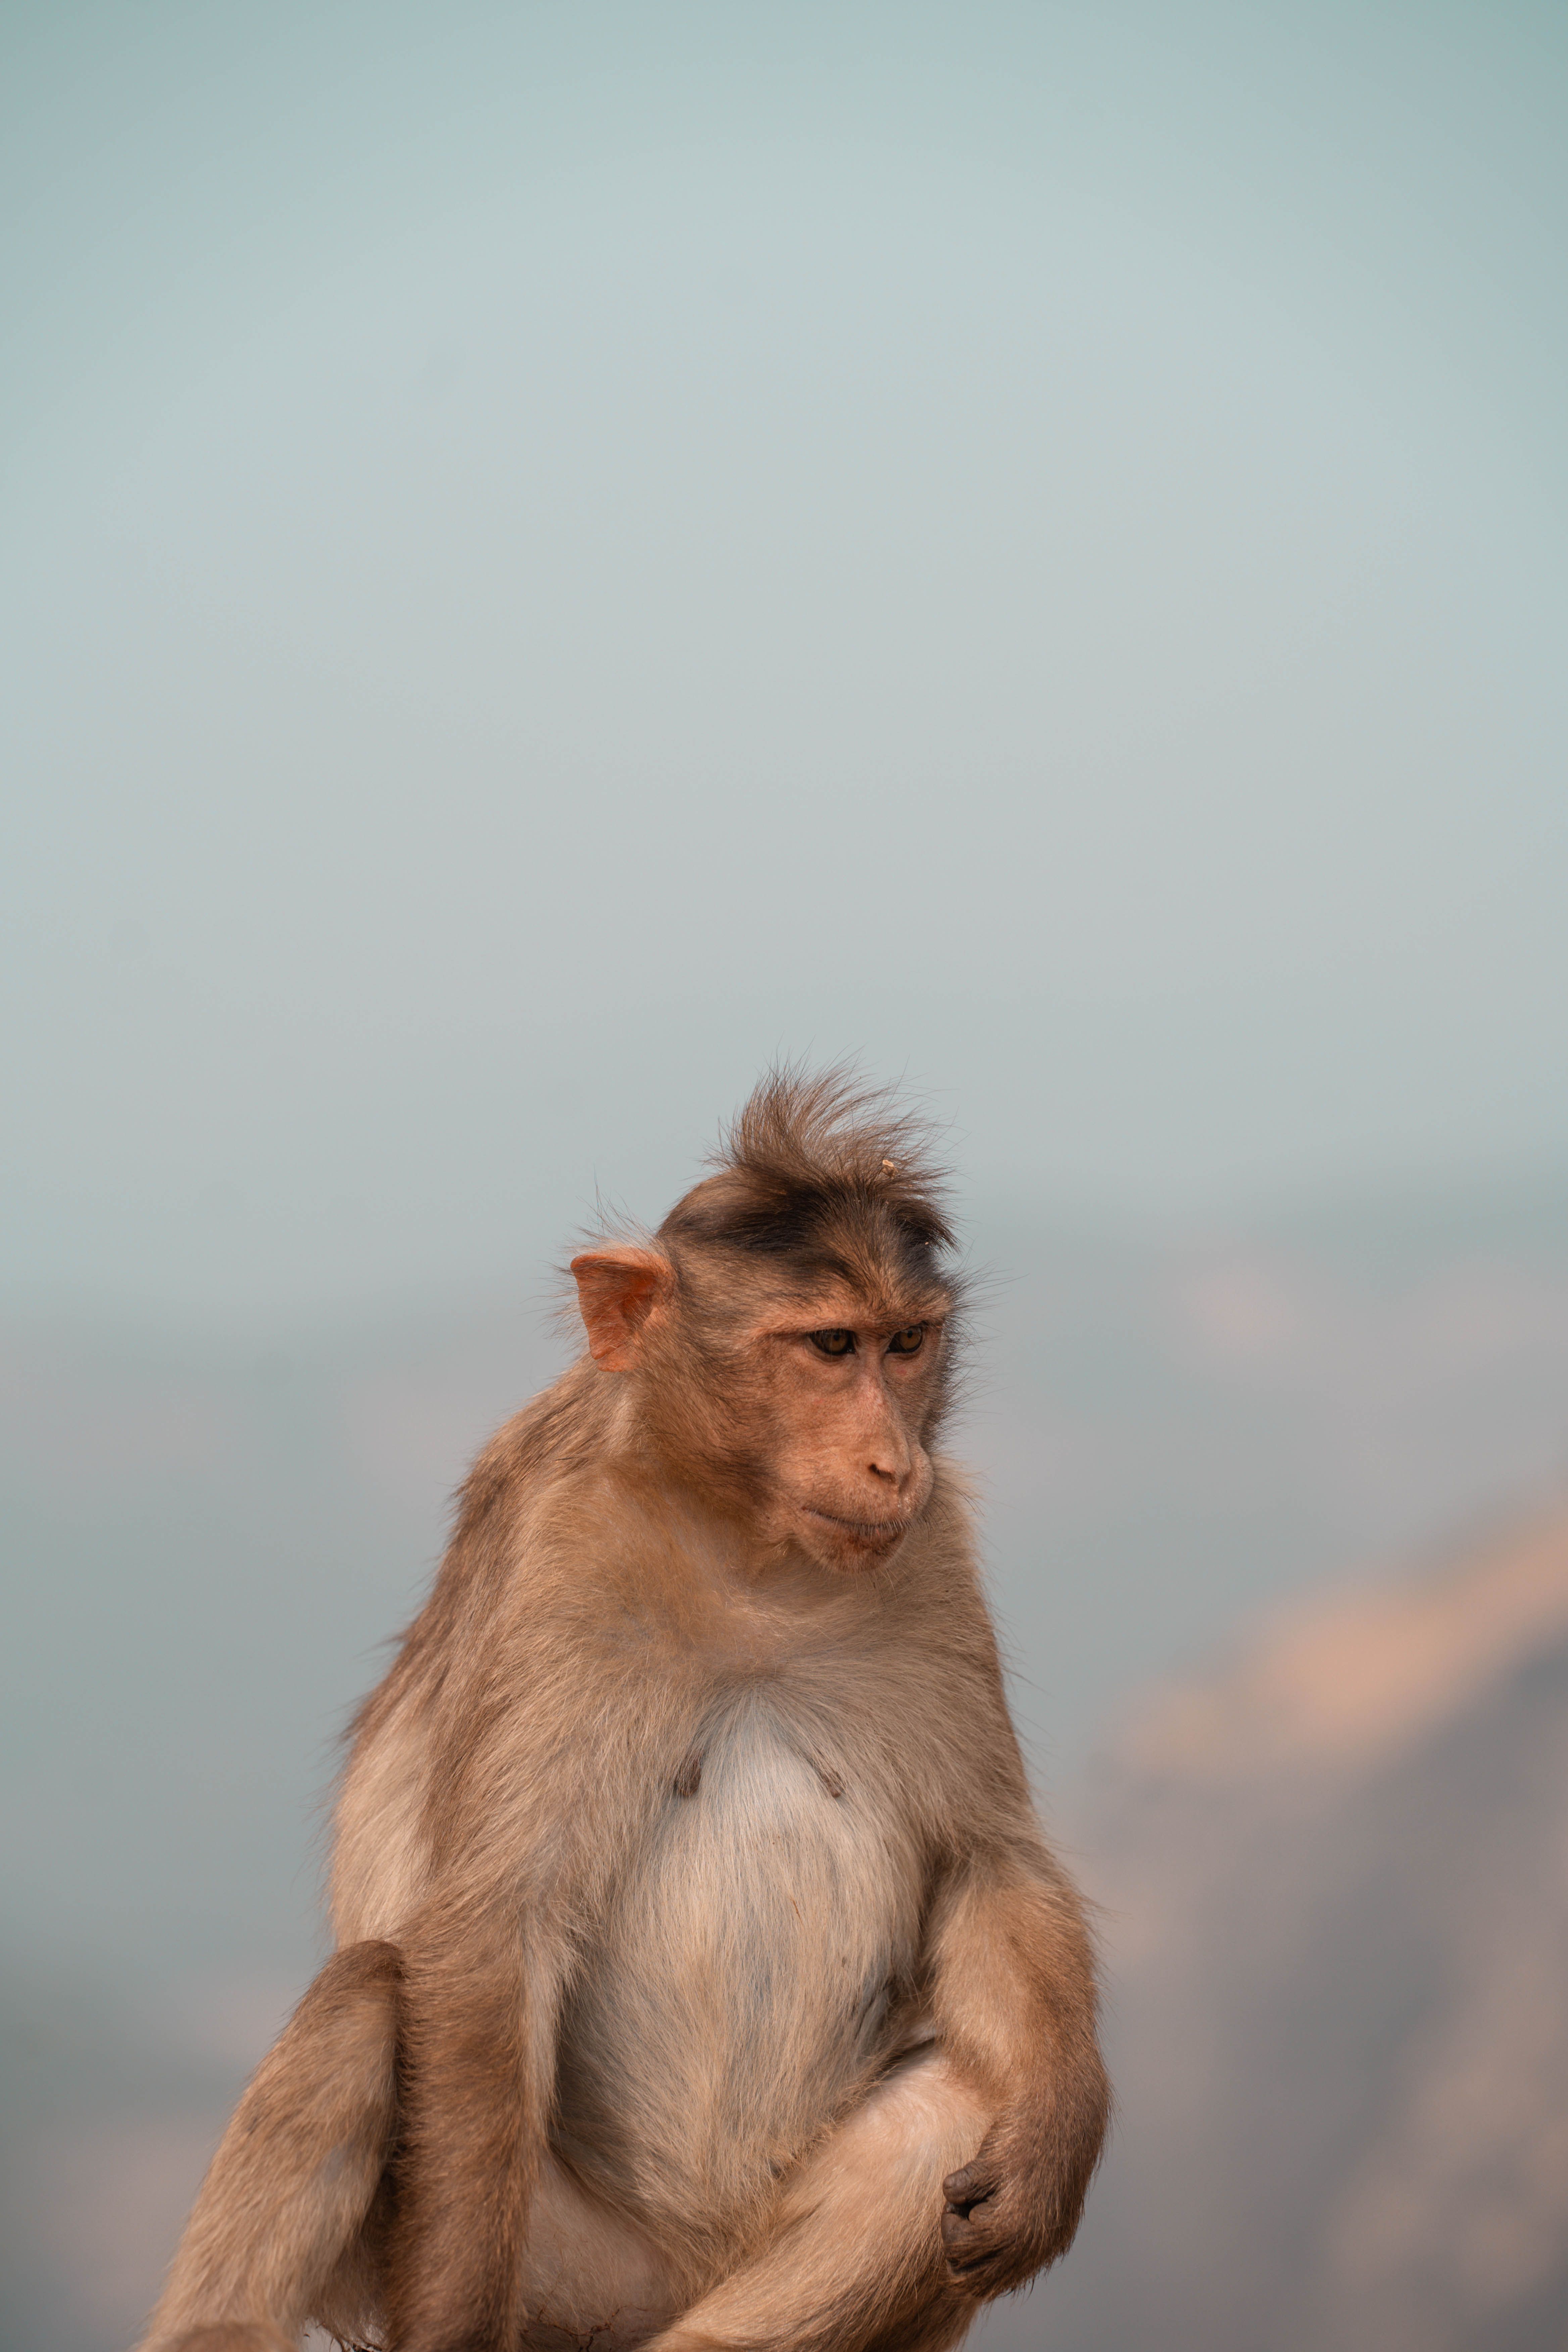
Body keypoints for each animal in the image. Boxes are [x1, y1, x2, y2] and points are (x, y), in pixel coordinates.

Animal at [137, 1070, 1109, 2352]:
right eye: (829, 1344)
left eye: (907, 1343)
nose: (894, 1460)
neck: (748, 1551)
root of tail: (683, 2268)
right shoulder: (562, 1558)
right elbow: (492, 1924)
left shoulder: (931, 1553)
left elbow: (984, 1861)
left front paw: (1058, 2139)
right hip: (549, 2269)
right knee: (367, 1995)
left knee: (947, 2108)